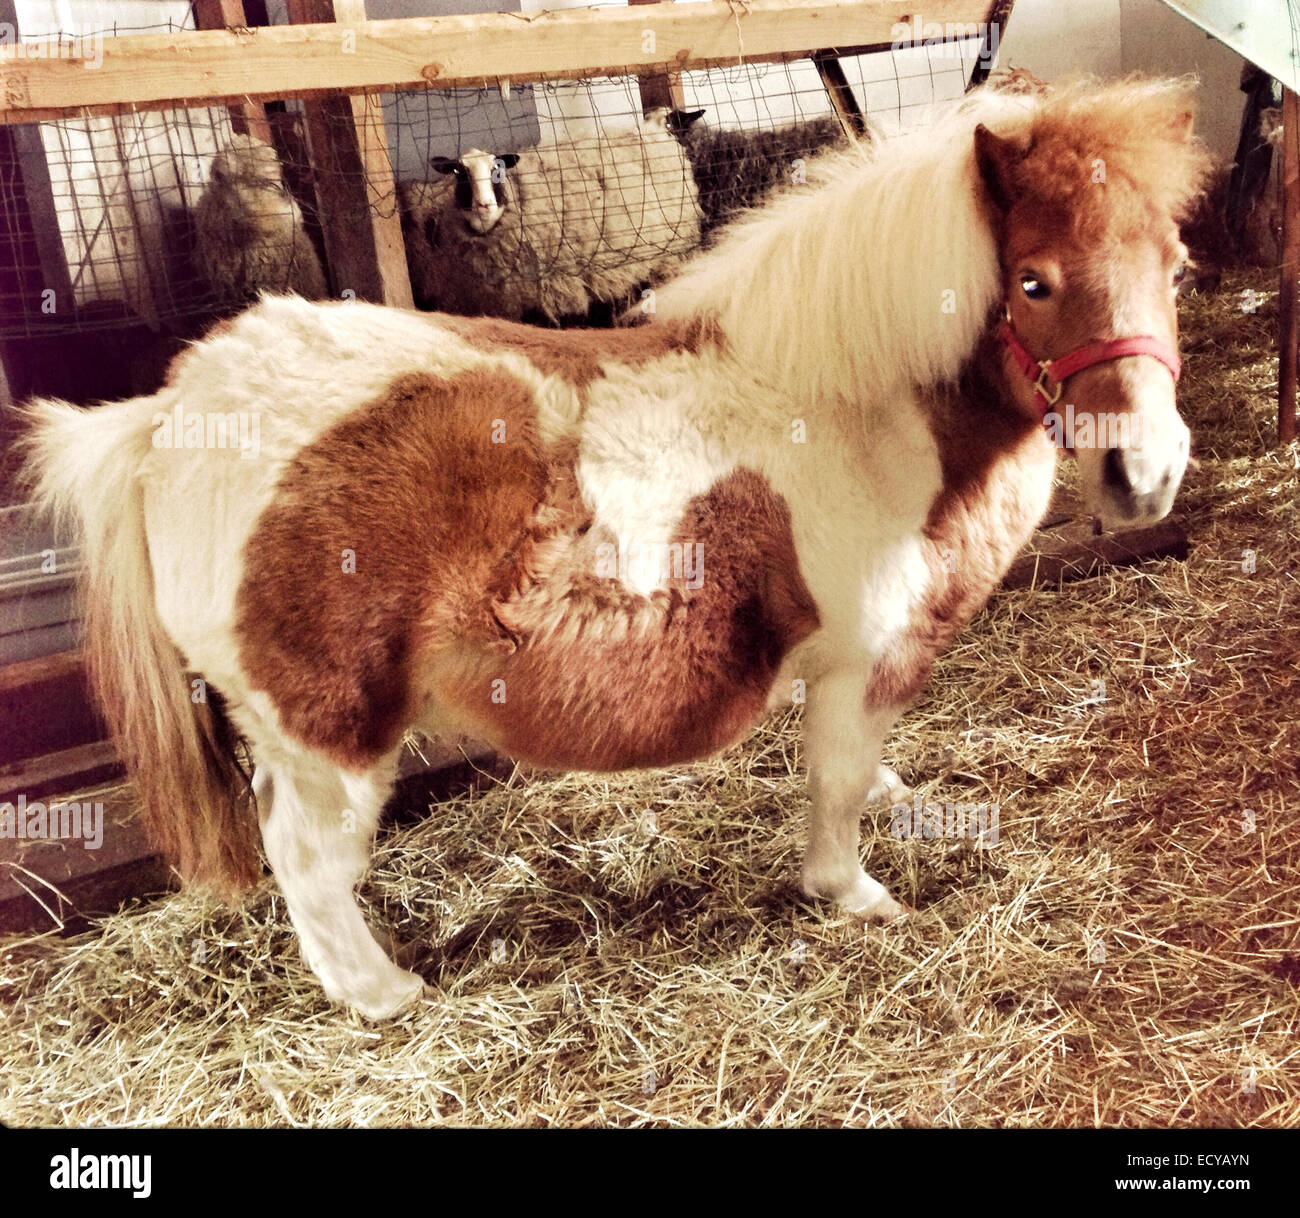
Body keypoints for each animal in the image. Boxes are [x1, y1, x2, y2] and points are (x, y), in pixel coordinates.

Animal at [23, 78, 1209, 1019]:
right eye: (1033, 281)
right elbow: (832, 783)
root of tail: (171, 415)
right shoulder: (859, 662)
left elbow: (865, 771)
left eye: (1179, 266)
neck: (858, 409)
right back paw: (382, 994)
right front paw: (853, 893)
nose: (1145, 474)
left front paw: (893, 803)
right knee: (307, 863)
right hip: (325, 736)